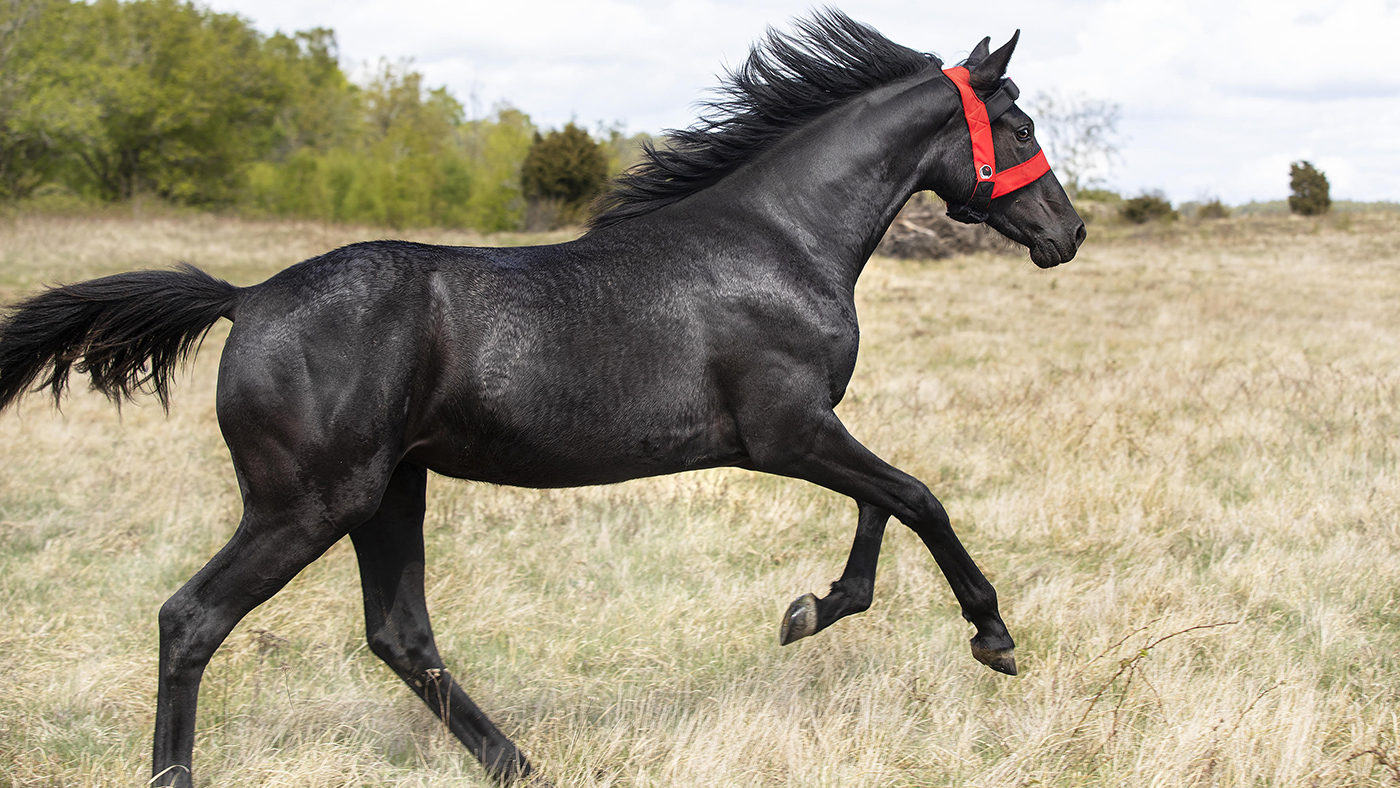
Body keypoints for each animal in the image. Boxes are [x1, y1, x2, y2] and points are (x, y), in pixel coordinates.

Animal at [0, 11, 1083, 787]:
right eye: (1021, 124)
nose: (1065, 232)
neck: (779, 238)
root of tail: (247, 297)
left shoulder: (807, 430)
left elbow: (882, 504)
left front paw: (811, 608)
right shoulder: (787, 432)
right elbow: (917, 497)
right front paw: (991, 637)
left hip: (389, 494)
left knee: (400, 635)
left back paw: (523, 764)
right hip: (307, 504)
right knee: (191, 619)